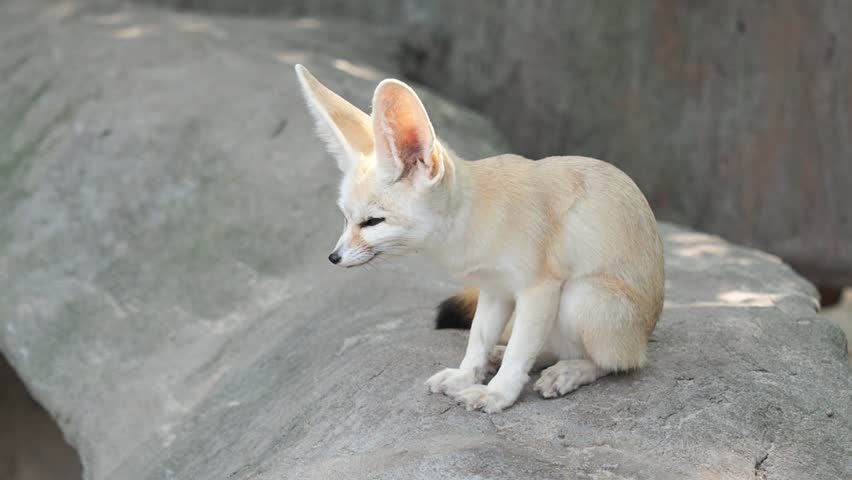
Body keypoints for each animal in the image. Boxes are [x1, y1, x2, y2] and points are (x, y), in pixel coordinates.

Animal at [294, 64, 665, 413]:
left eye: (372, 222)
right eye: (345, 218)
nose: (333, 257)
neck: (478, 214)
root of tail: (647, 332)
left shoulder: (538, 289)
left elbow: (520, 350)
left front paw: (499, 393)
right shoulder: (495, 289)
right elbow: (478, 338)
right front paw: (467, 375)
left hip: (583, 297)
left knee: (619, 362)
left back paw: (572, 370)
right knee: (548, 347)